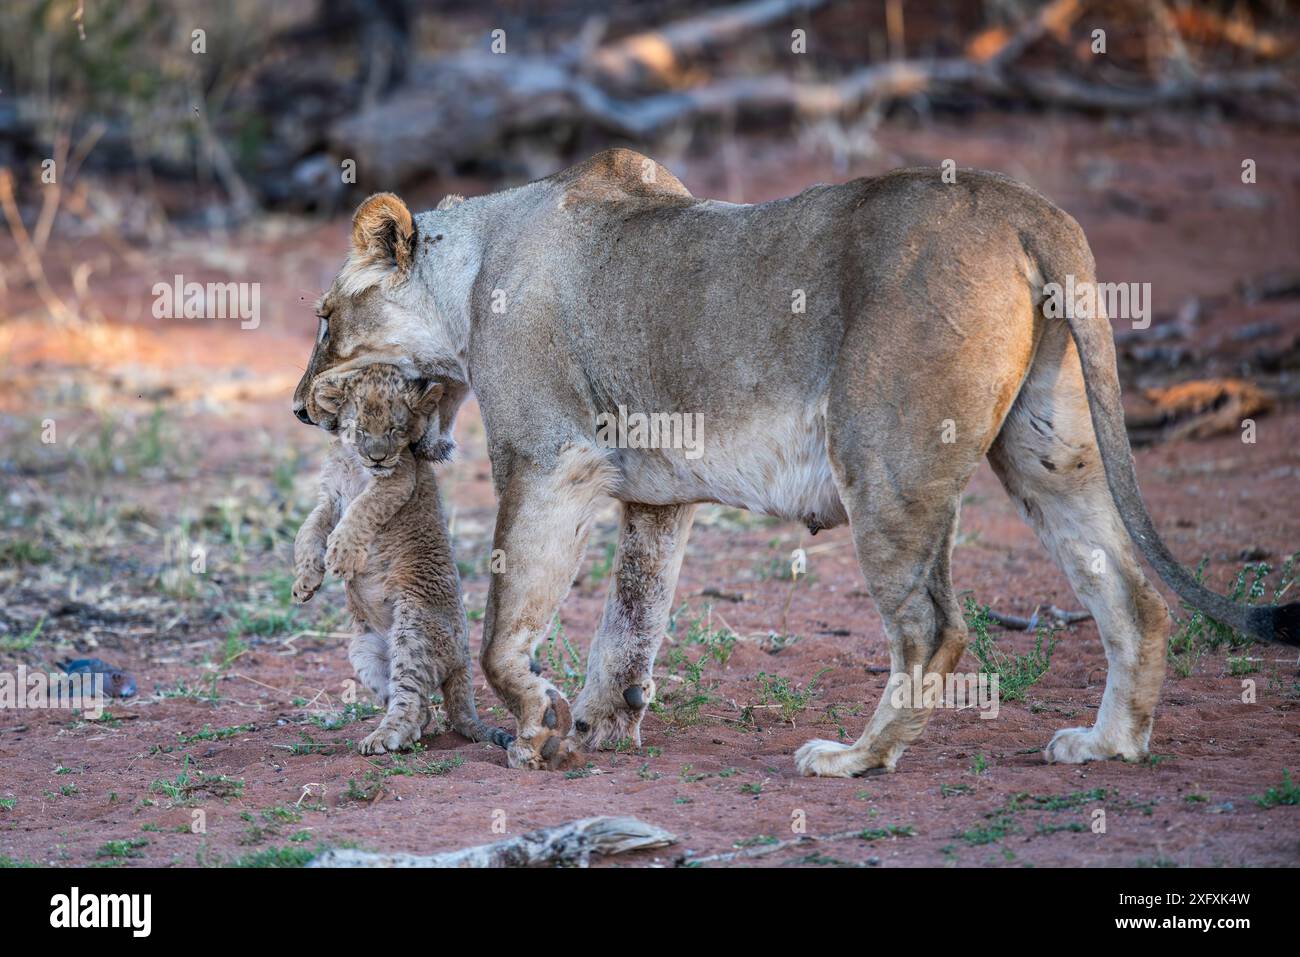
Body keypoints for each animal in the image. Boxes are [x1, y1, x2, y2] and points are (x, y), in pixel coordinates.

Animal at [292, 362, 511, 755]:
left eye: (395, 429)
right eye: (360, 430)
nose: (377, 457)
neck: (354, 460)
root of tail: (462, 661)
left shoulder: (398, 480)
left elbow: (362, 508)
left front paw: (342, 554)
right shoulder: (330, 497)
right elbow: (308, 530)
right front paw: (305, 581)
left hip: (414, 624)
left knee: (410, 697)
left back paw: (384, 738)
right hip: (364, 651)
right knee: (418, 705)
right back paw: (403, 735)